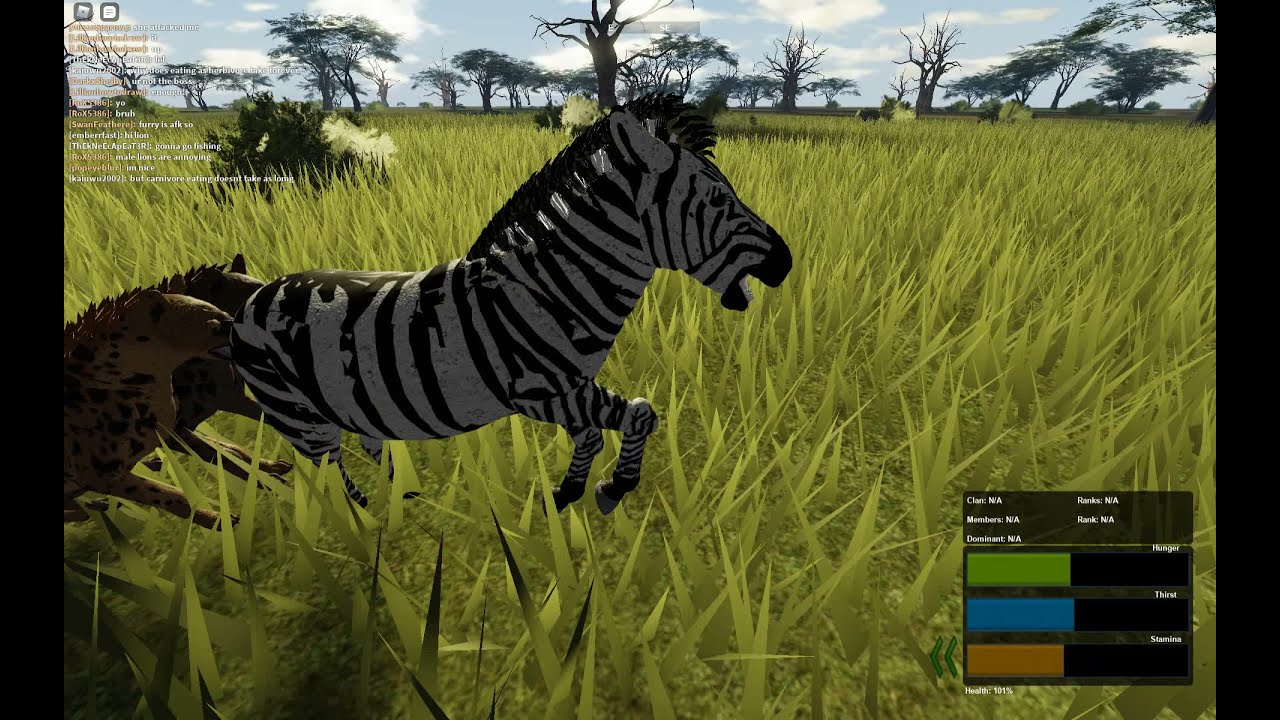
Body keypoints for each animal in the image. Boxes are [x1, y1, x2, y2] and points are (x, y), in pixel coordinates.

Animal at [227, 93, 792, 515]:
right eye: (717, 199)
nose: (786, 262)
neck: (552, 286)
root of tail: (252, 298)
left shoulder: (569, 387)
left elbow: (612, 425)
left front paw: (575, 493)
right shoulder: (537, 391)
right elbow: (630, 418)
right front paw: (607, 489)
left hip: (349, 404)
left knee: (368, 442)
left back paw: (401, 496)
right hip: (301, 418)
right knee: (327, 474)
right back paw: (368, 519)